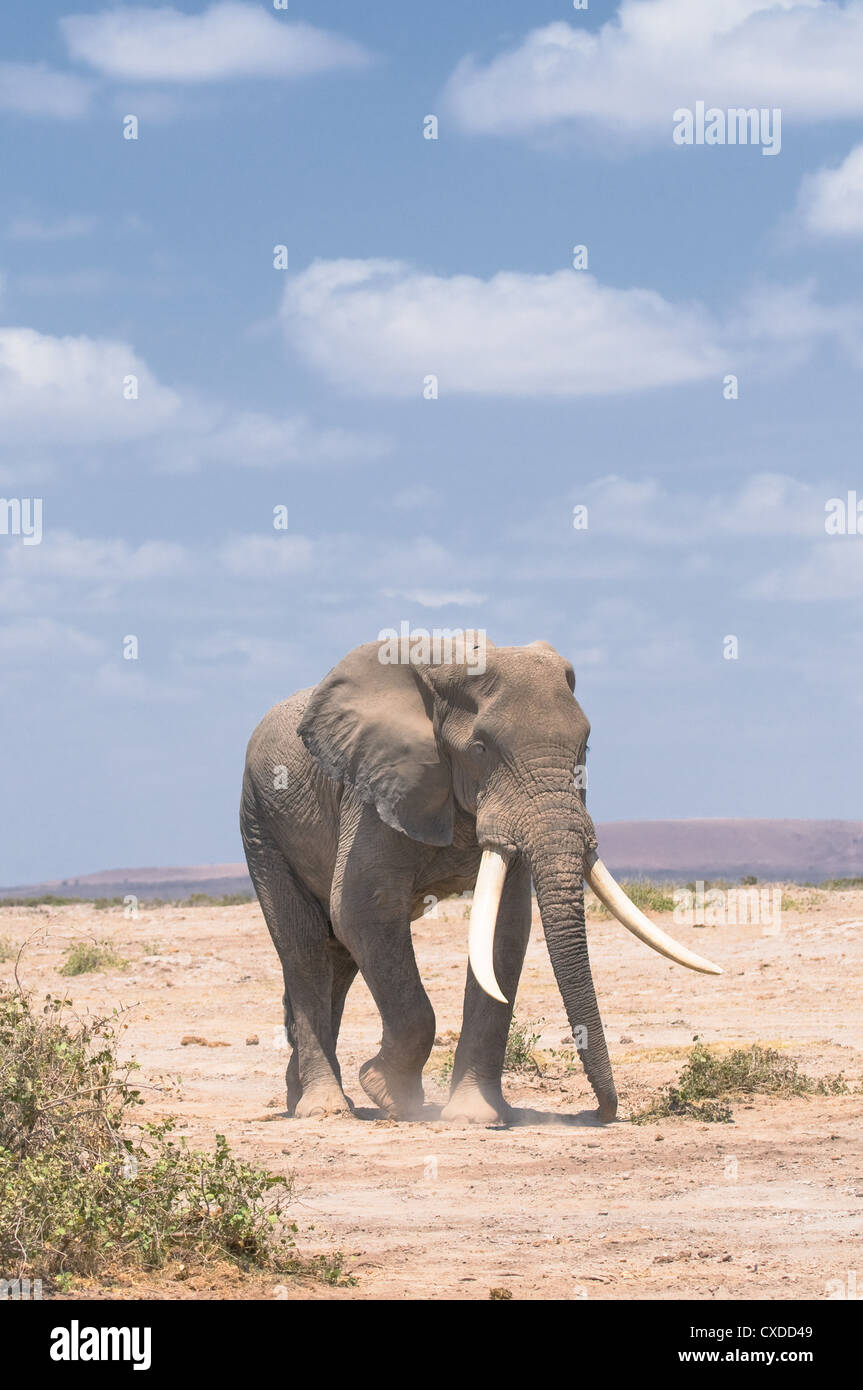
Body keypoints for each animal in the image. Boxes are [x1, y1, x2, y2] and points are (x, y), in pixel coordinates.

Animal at [240, 636, 720, 1125]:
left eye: (585, 747)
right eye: (480, 748)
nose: (602, 1111)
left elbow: (506, 928)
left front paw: (476, 1116)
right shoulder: (375, 787)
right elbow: (363, 908)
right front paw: (390, 1095)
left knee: (338, 956)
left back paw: (304, 1098)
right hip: (260, 820)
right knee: (305, 946)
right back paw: (324, 1109)